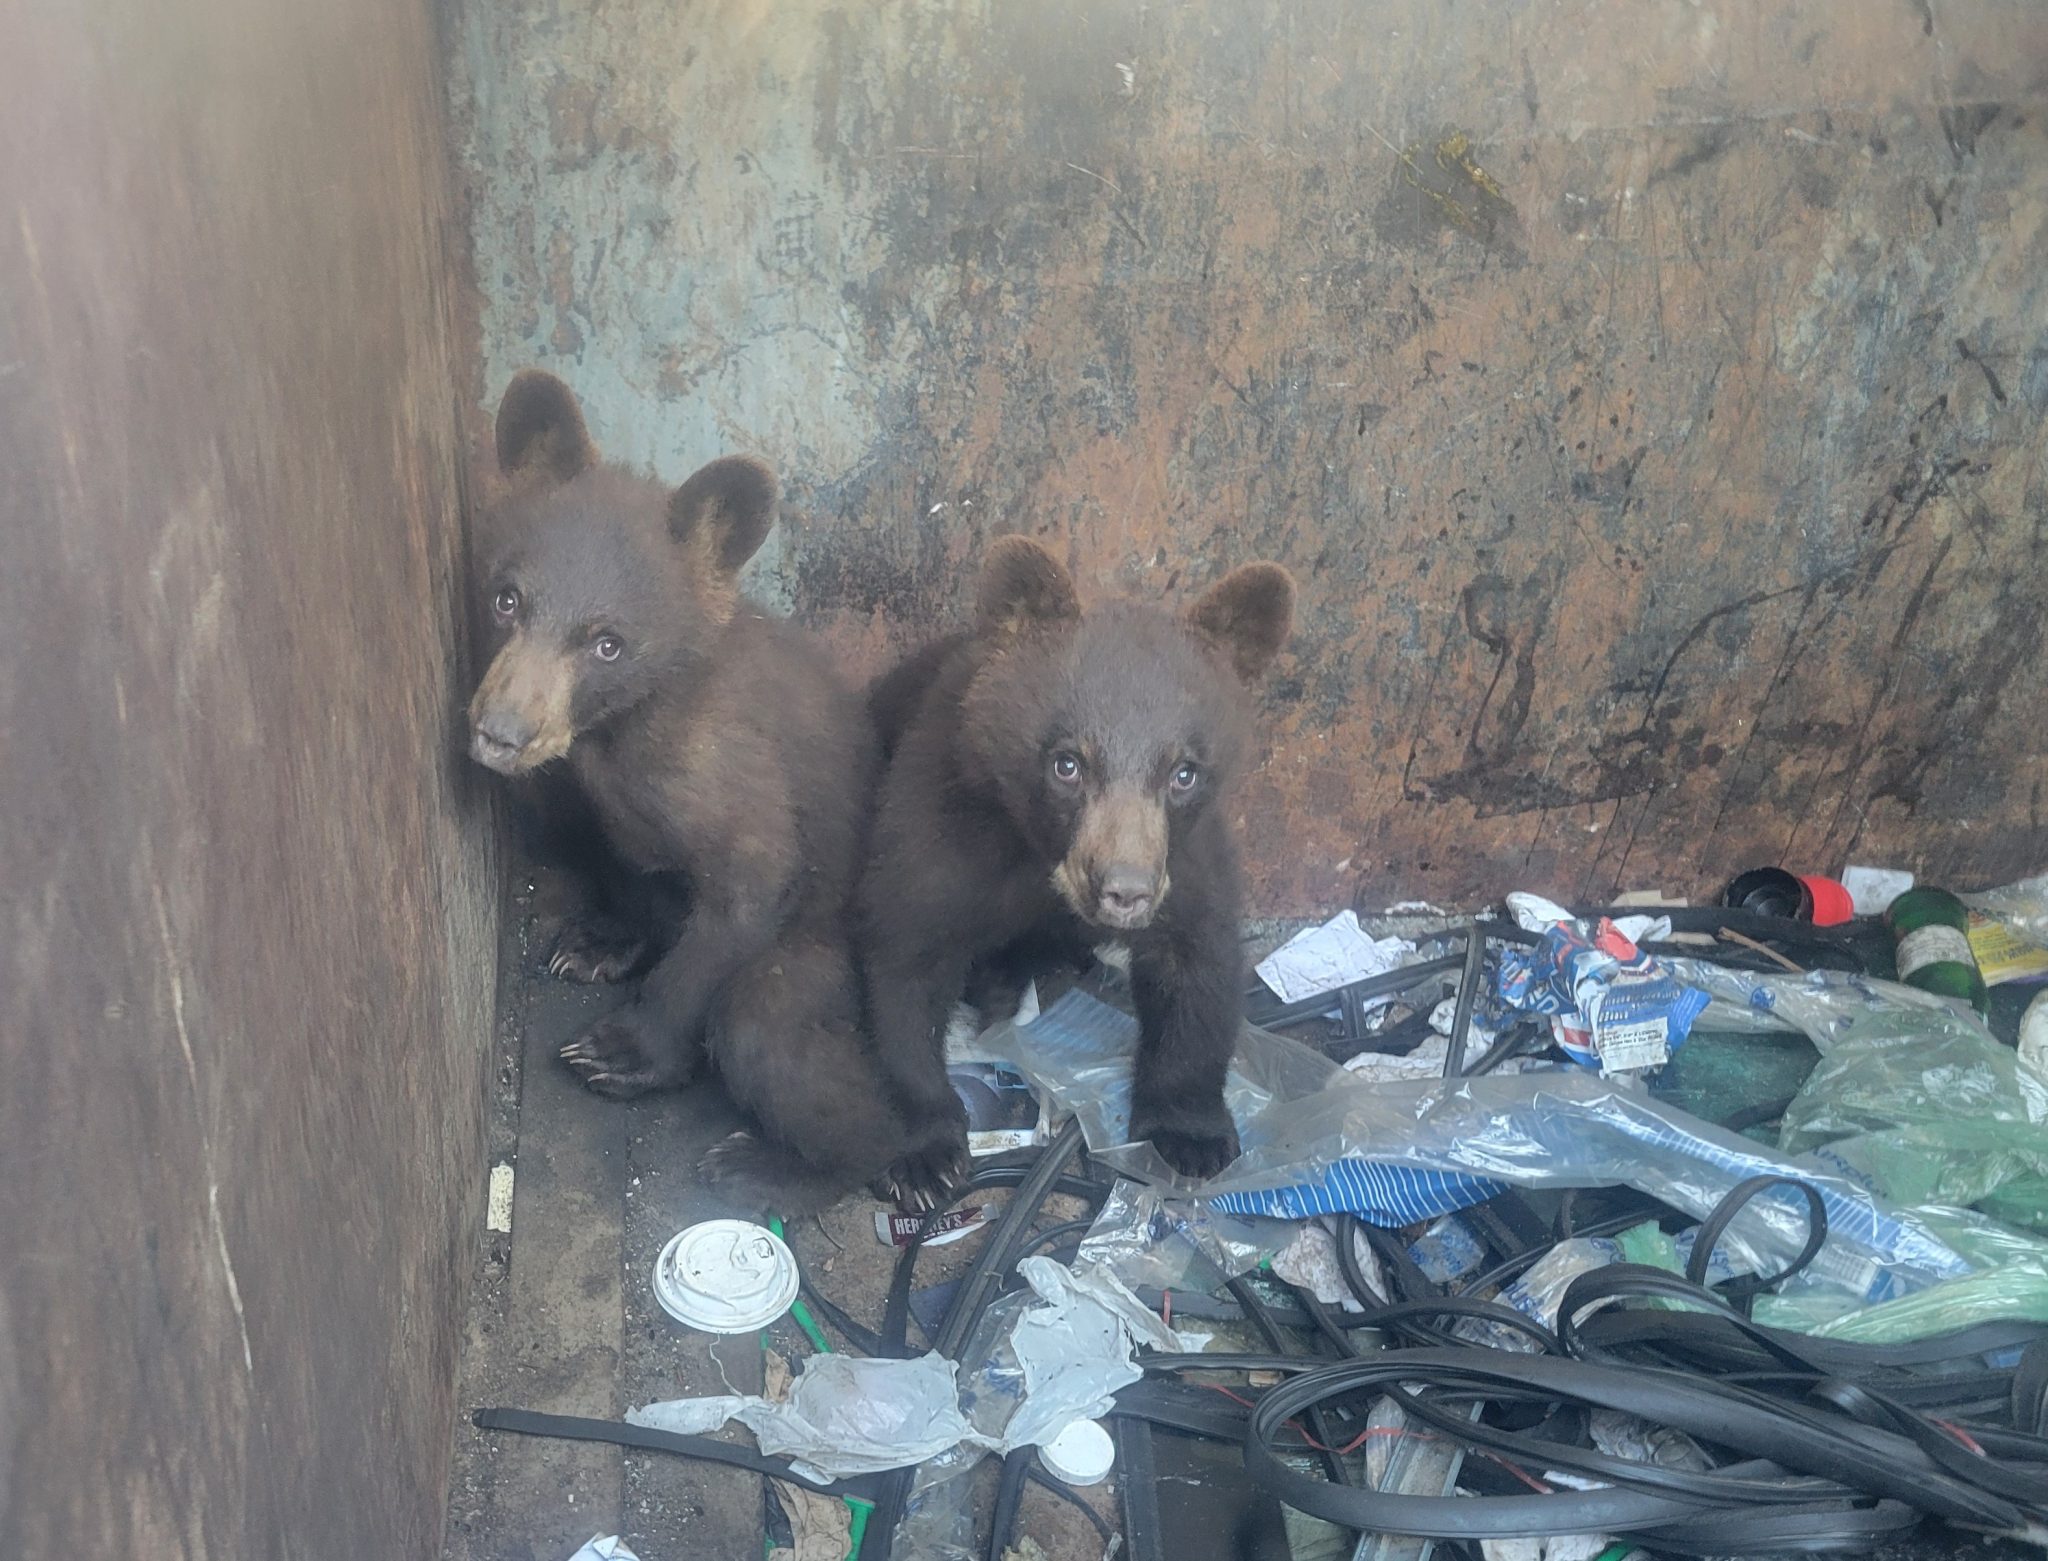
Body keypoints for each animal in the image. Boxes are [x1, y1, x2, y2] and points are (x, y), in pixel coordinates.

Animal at [466, 368, 907, 1213]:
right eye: (507, 598)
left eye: (607, 642)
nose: (501, 732)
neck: (613, 731)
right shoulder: (596, 797)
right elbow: (619, 860)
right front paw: (601, 940)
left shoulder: (721, 767)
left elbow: (747, 887)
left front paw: (622, 1049)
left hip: (827, 965)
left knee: (770, 1032)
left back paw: (766, 1163)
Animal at [856, 536, 1295, 1208]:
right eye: (1067, 763)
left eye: (1184, 772)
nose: (1124, 891)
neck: (1041, 857)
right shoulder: (940, 816)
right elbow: (905, 960)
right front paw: (923, 1157)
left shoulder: (1185, 857)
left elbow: (1198, 964)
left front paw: (1191, 1136)